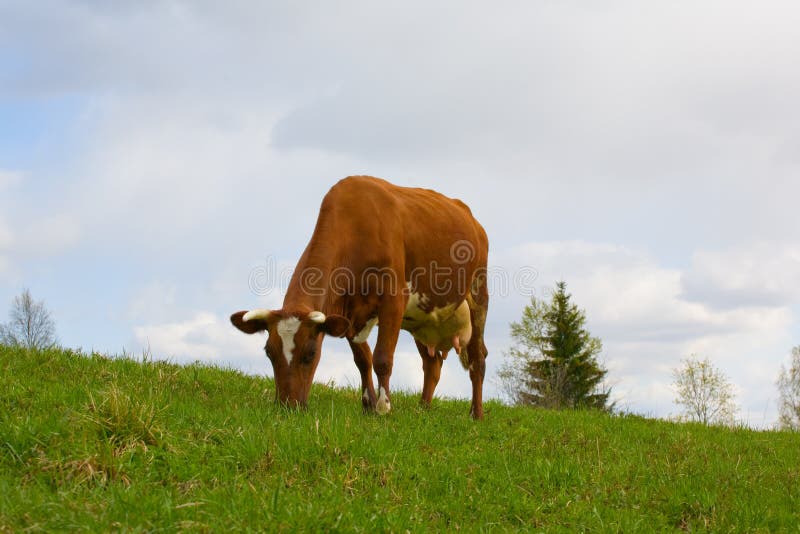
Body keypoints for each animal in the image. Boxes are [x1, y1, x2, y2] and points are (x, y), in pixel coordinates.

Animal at [231, 176, 489, 418]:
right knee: (432, 364)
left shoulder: (394, 300)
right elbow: (363, 359)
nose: (288, 406)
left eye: (310, 353)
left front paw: (384, 407)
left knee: (478, 358)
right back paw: (423, 409)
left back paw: (476, 414)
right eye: (268, 352)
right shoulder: (348, 312)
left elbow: (382, 358)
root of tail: (472, 219)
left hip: (478, 294)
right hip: (423, 318)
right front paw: (368, 405)